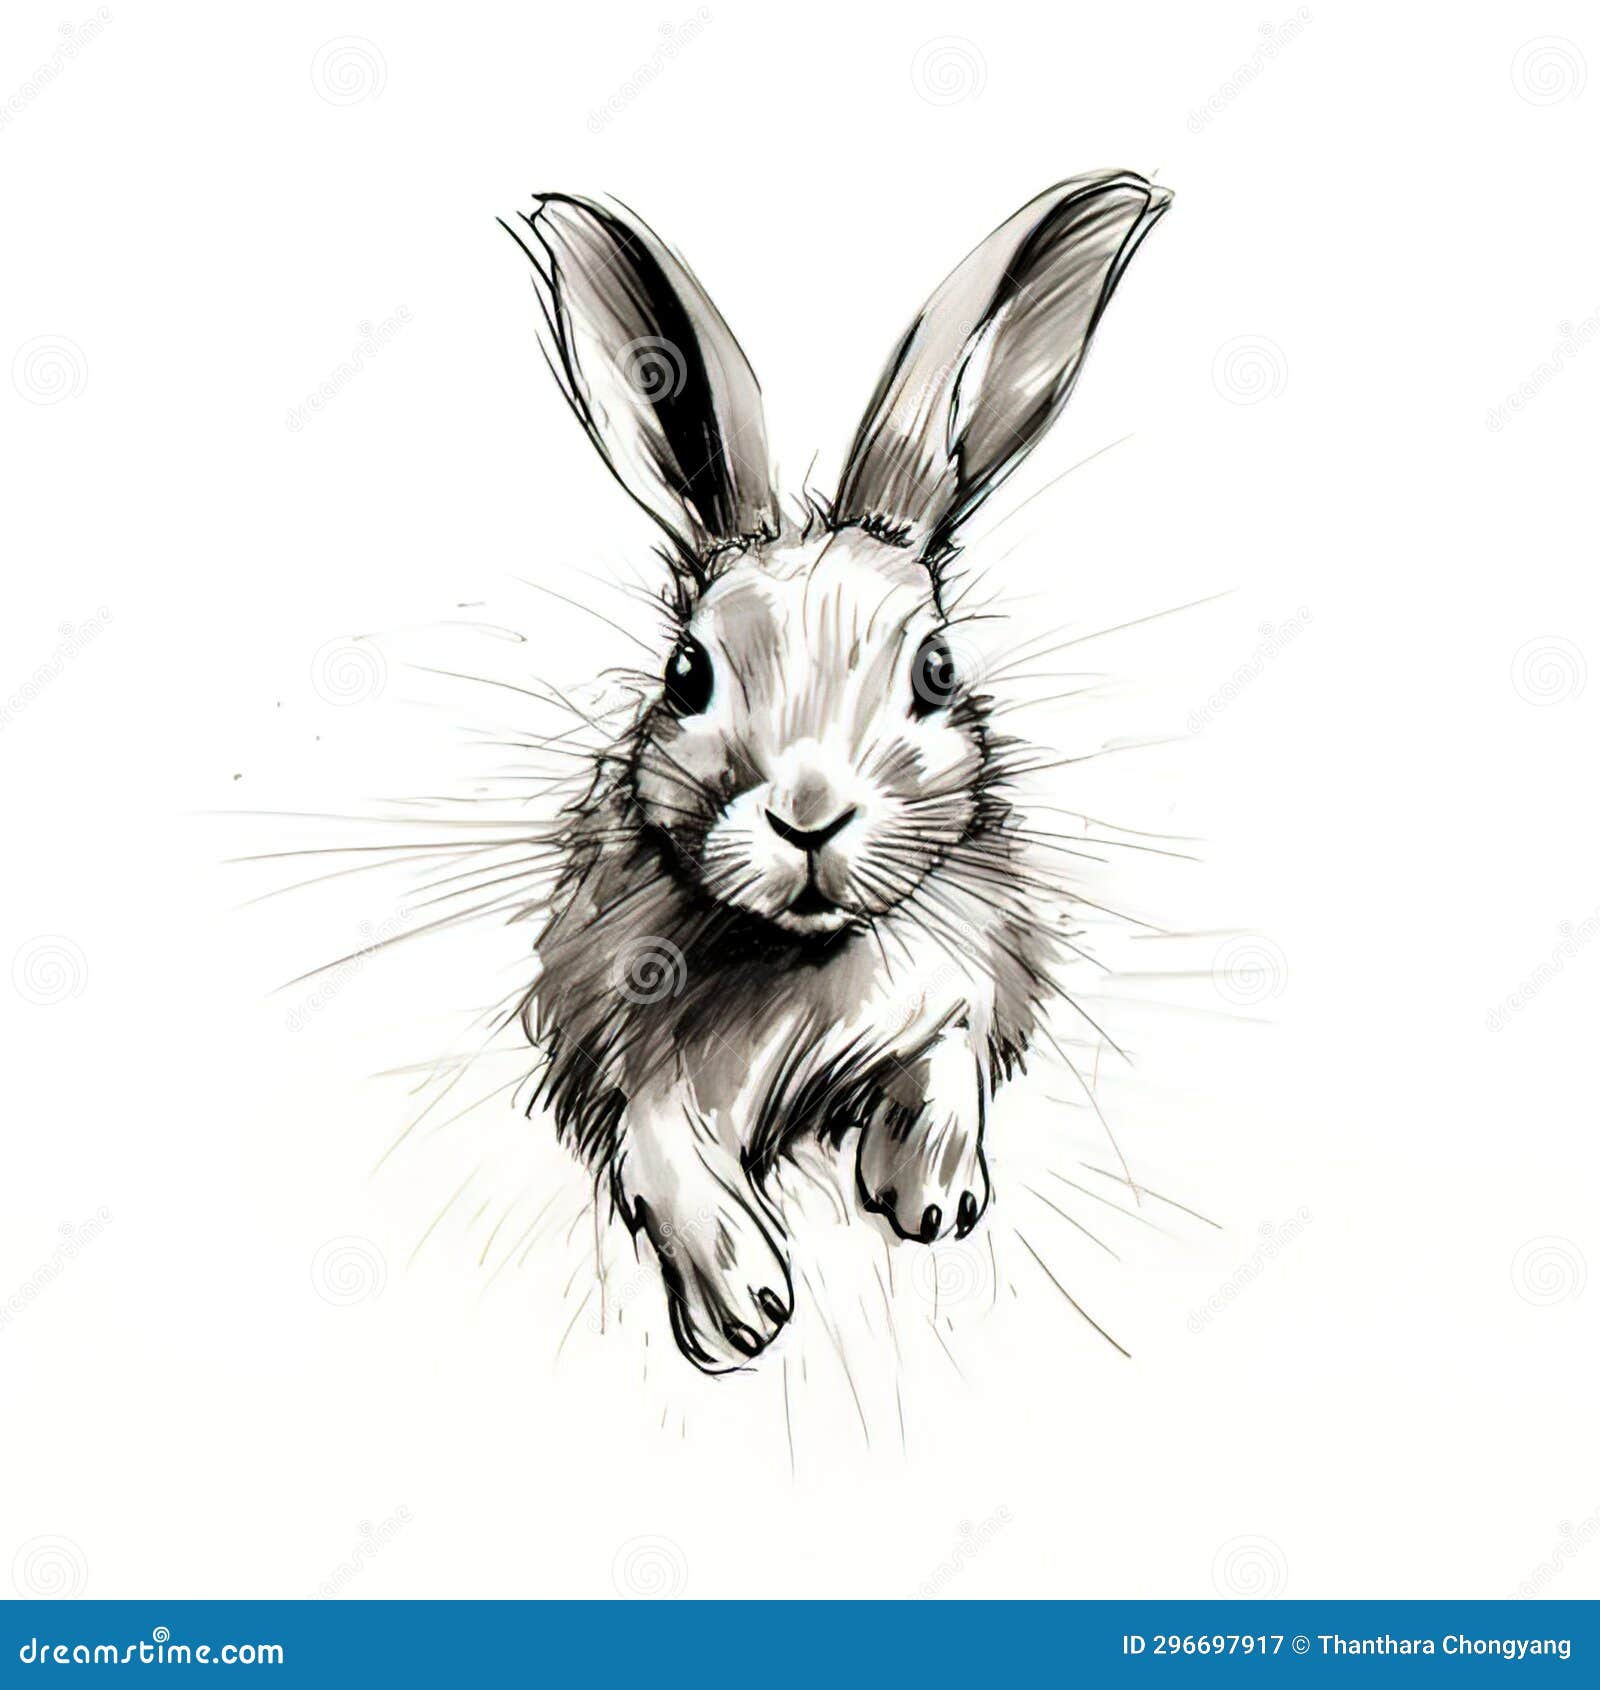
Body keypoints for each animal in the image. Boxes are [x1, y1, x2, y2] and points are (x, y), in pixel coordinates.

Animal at [499, 171, 1172, 1372]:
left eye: (939, 668)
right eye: (684, 674)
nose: (808, 817)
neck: (811, 956)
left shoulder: (966, 985)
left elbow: (949, 1059)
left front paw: (928, 1194)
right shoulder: (630, 1056)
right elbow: (665, 1151)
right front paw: (741, 1304)